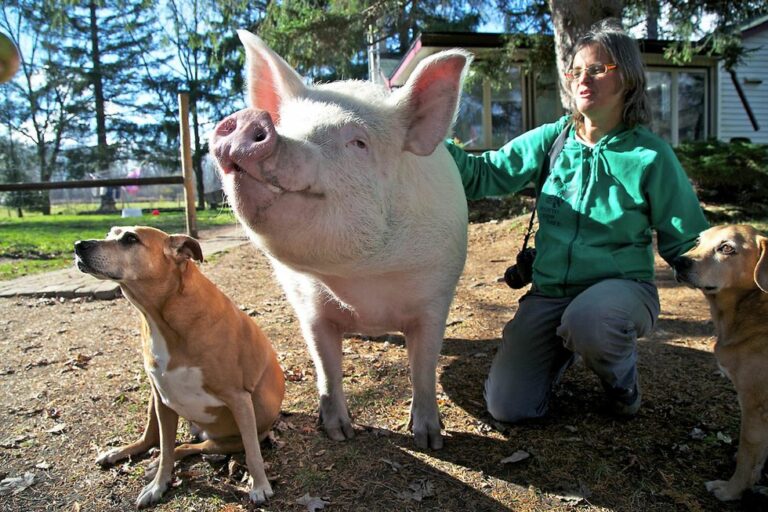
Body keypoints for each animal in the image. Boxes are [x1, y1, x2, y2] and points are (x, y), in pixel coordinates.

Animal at [211, 30, 470, 450]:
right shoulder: (308, 307)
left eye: (358, 143)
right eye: (288, 124)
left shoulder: (437, 296)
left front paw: (429, 440)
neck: (363, 283)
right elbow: (326, 365)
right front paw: (338, 433)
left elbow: (424, 367)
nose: (249, 119)